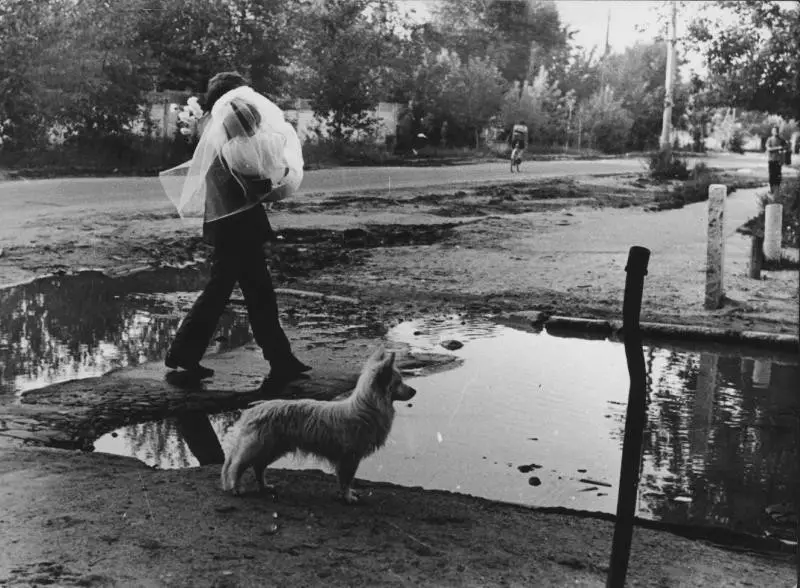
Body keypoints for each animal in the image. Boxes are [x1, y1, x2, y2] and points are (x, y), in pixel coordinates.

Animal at [220, 346, 416, 504]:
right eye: (398, 383)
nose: (414, 391)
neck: (367, 407)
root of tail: (253, 409)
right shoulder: (350, 457)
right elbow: (346, 479)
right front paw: (348, 497)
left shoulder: (347, 458)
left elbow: (344, 479)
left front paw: (346, 495)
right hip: (259, 446)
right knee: (238, 466)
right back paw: (236, 488)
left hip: (272, 447)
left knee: (258, 467)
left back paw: (264, 486)